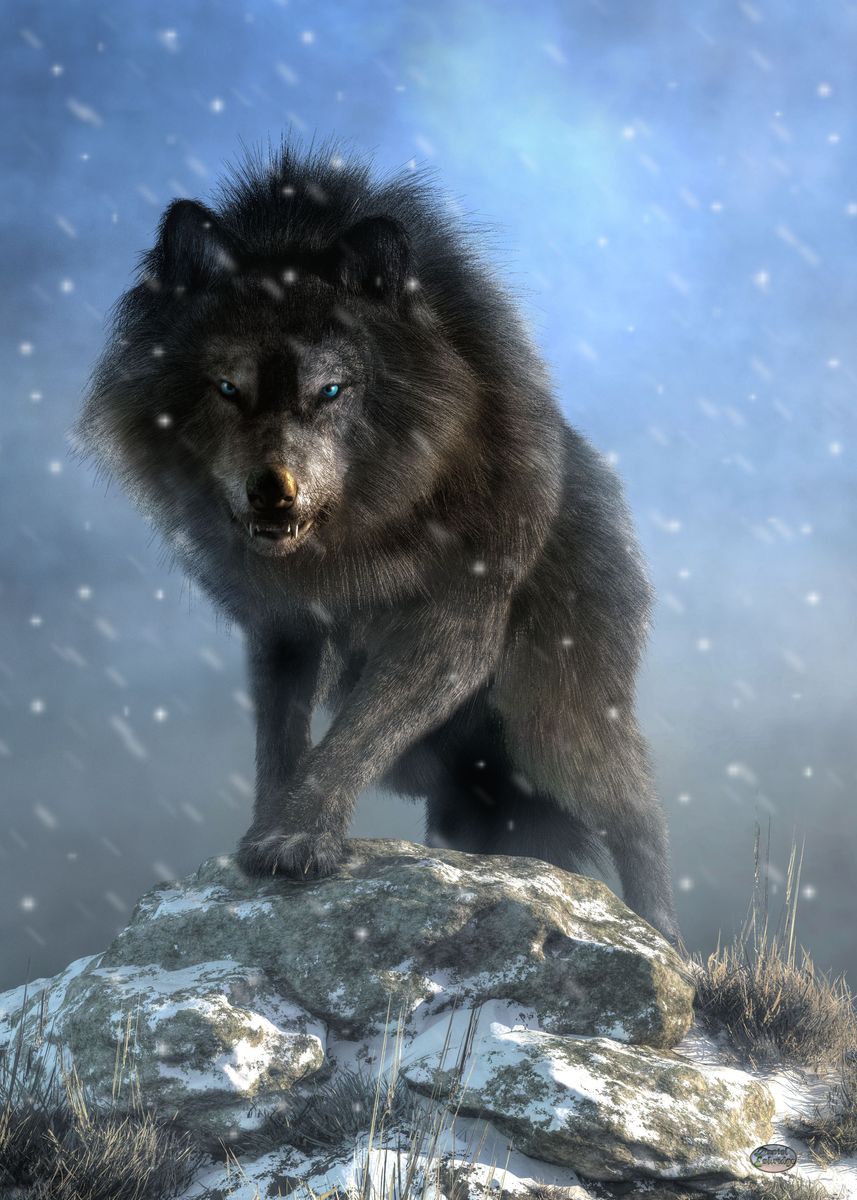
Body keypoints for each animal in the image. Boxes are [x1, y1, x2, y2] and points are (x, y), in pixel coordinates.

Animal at [73, 139, 680, 944]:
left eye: (330, 390)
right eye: (228, 388)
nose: (273, 491)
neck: (358, 536)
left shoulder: (455, 624)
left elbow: (355, 735)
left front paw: (300, 839)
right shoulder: (281, 629)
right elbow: (281, 743)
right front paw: (266, 834)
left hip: (554, 726)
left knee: (637, 812)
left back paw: (671, 943)